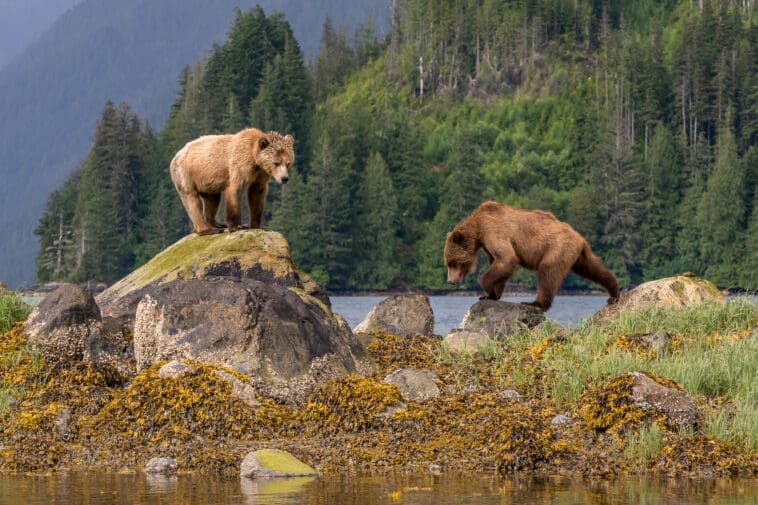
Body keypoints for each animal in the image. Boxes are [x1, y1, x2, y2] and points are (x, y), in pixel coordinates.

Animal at [444, 200, 619, 311]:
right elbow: (499, 264)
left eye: (452, 263)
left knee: (547, 273)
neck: (478, 228)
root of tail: (579, 236)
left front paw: (486, 290)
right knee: (593, 269)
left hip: (556, 247)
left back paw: (535, 303)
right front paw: (490, 295)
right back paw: (614, 293)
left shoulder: (493, 232)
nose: (450, 281)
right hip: (577, 253)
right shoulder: (488, 244)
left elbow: (507, 258)